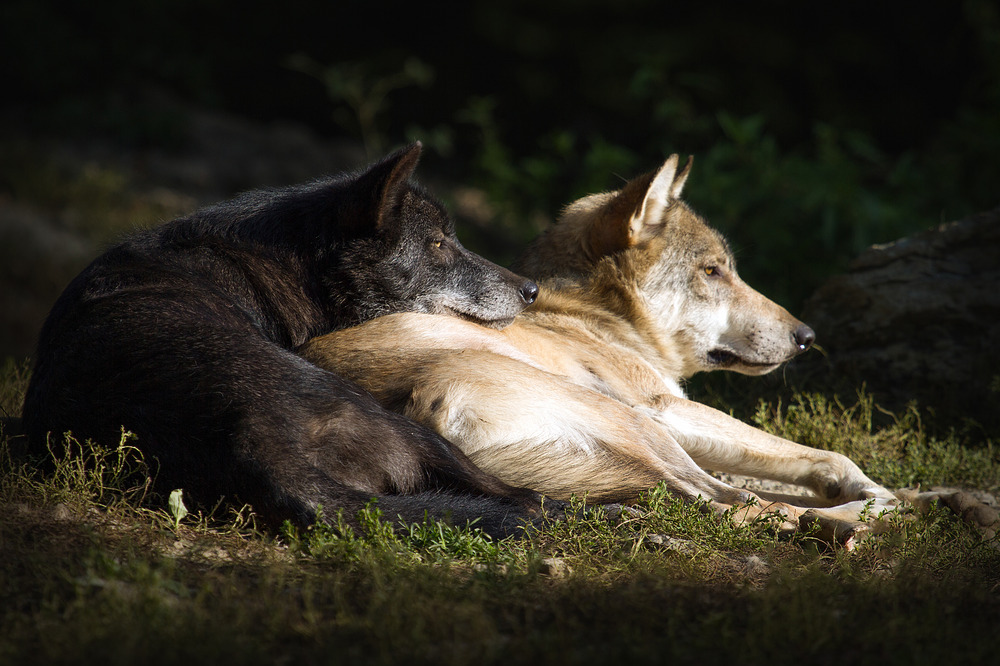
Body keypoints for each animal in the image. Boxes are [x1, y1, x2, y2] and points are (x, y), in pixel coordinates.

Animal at [21, 143, 552, 536]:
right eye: (438, 244)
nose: (532, 291)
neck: (289, 268)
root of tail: (256, 446)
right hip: (413, 429)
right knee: (527, 500)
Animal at [299, 154, 899, 544]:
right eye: (713, 271)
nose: (807, 336)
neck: (590, 314)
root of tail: (418, 409)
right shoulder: (666, 405)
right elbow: (829, 456)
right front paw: (882, 492)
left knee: (736, 505)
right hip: (642, 428)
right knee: (744, 506)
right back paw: (868, 519)